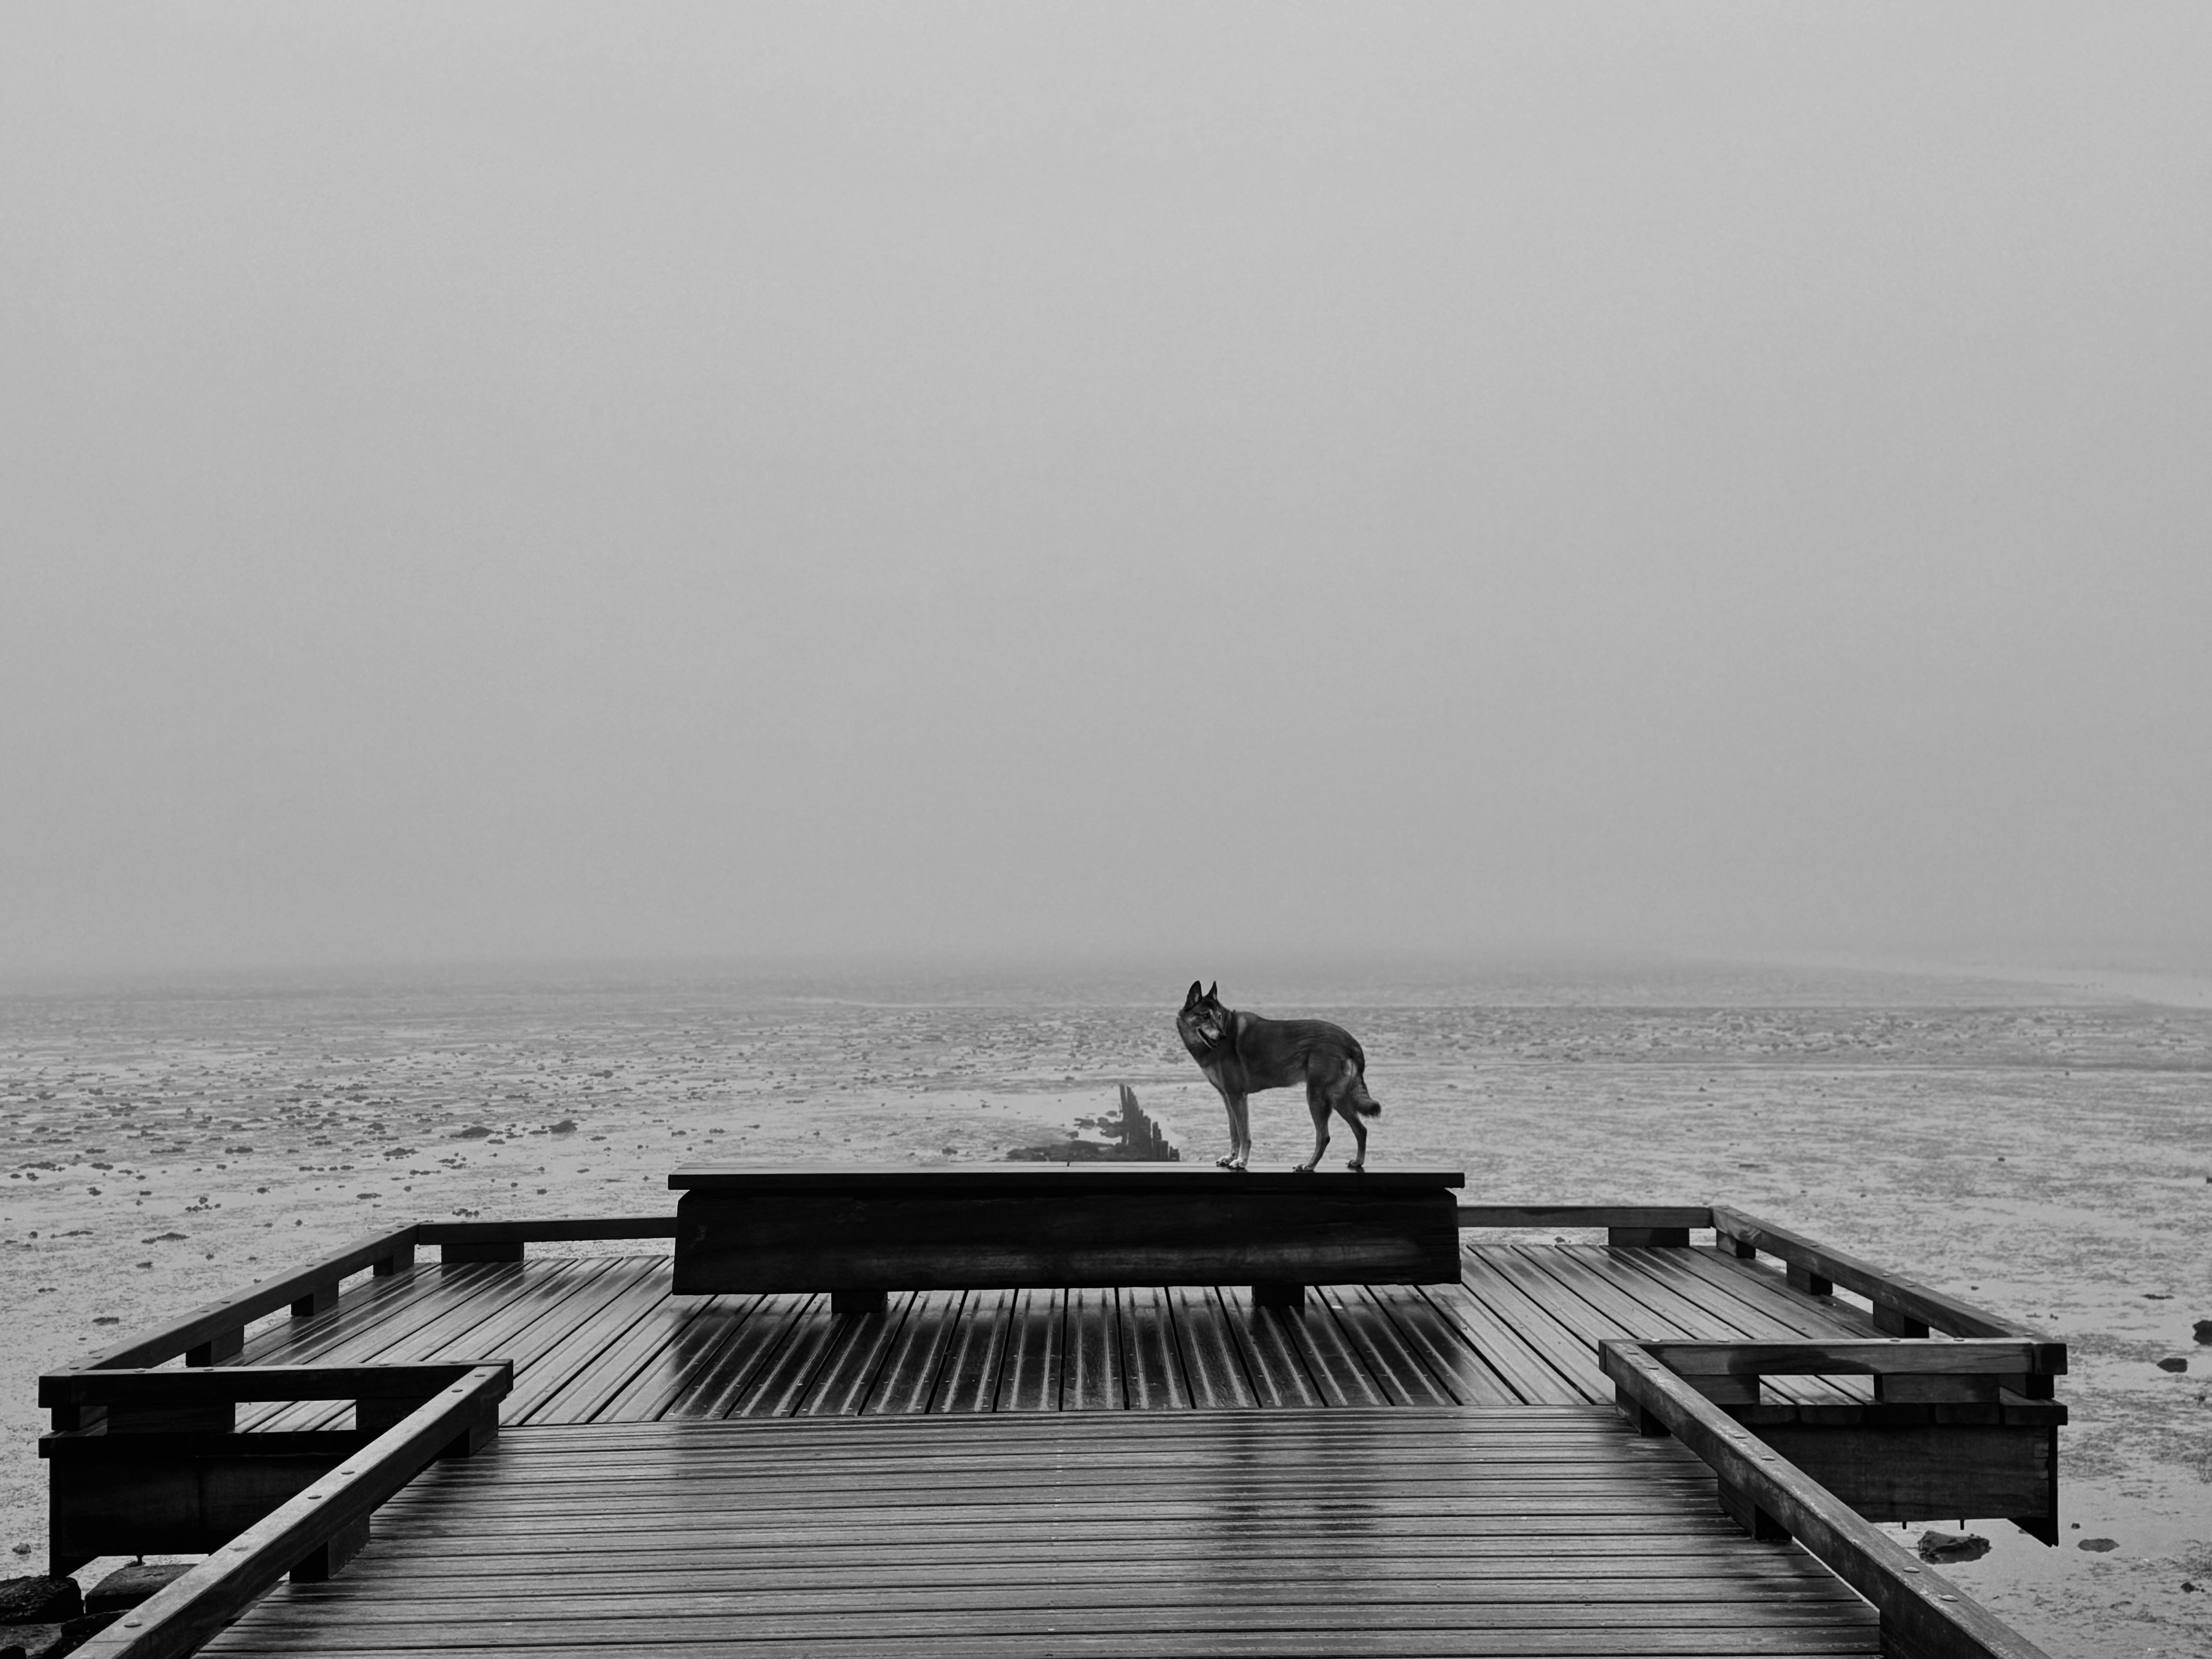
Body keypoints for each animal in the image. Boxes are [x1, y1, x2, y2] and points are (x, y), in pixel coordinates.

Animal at [1175, 981, 1382, 1172]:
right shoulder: (1227, 1097)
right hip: (1338, 1099)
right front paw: (1230, 1157)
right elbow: (1234, 1132)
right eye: (1205, 1016)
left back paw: (1309, 1165)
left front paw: (1241, 1161)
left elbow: (1244, 1133)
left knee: (1324, 1136)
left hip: (1317, 1098)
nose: (1223, 1036)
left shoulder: (1238, 1097)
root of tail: (1352, 1043)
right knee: (1361, 1130)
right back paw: (1358, 1161)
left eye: (1219, 1017)